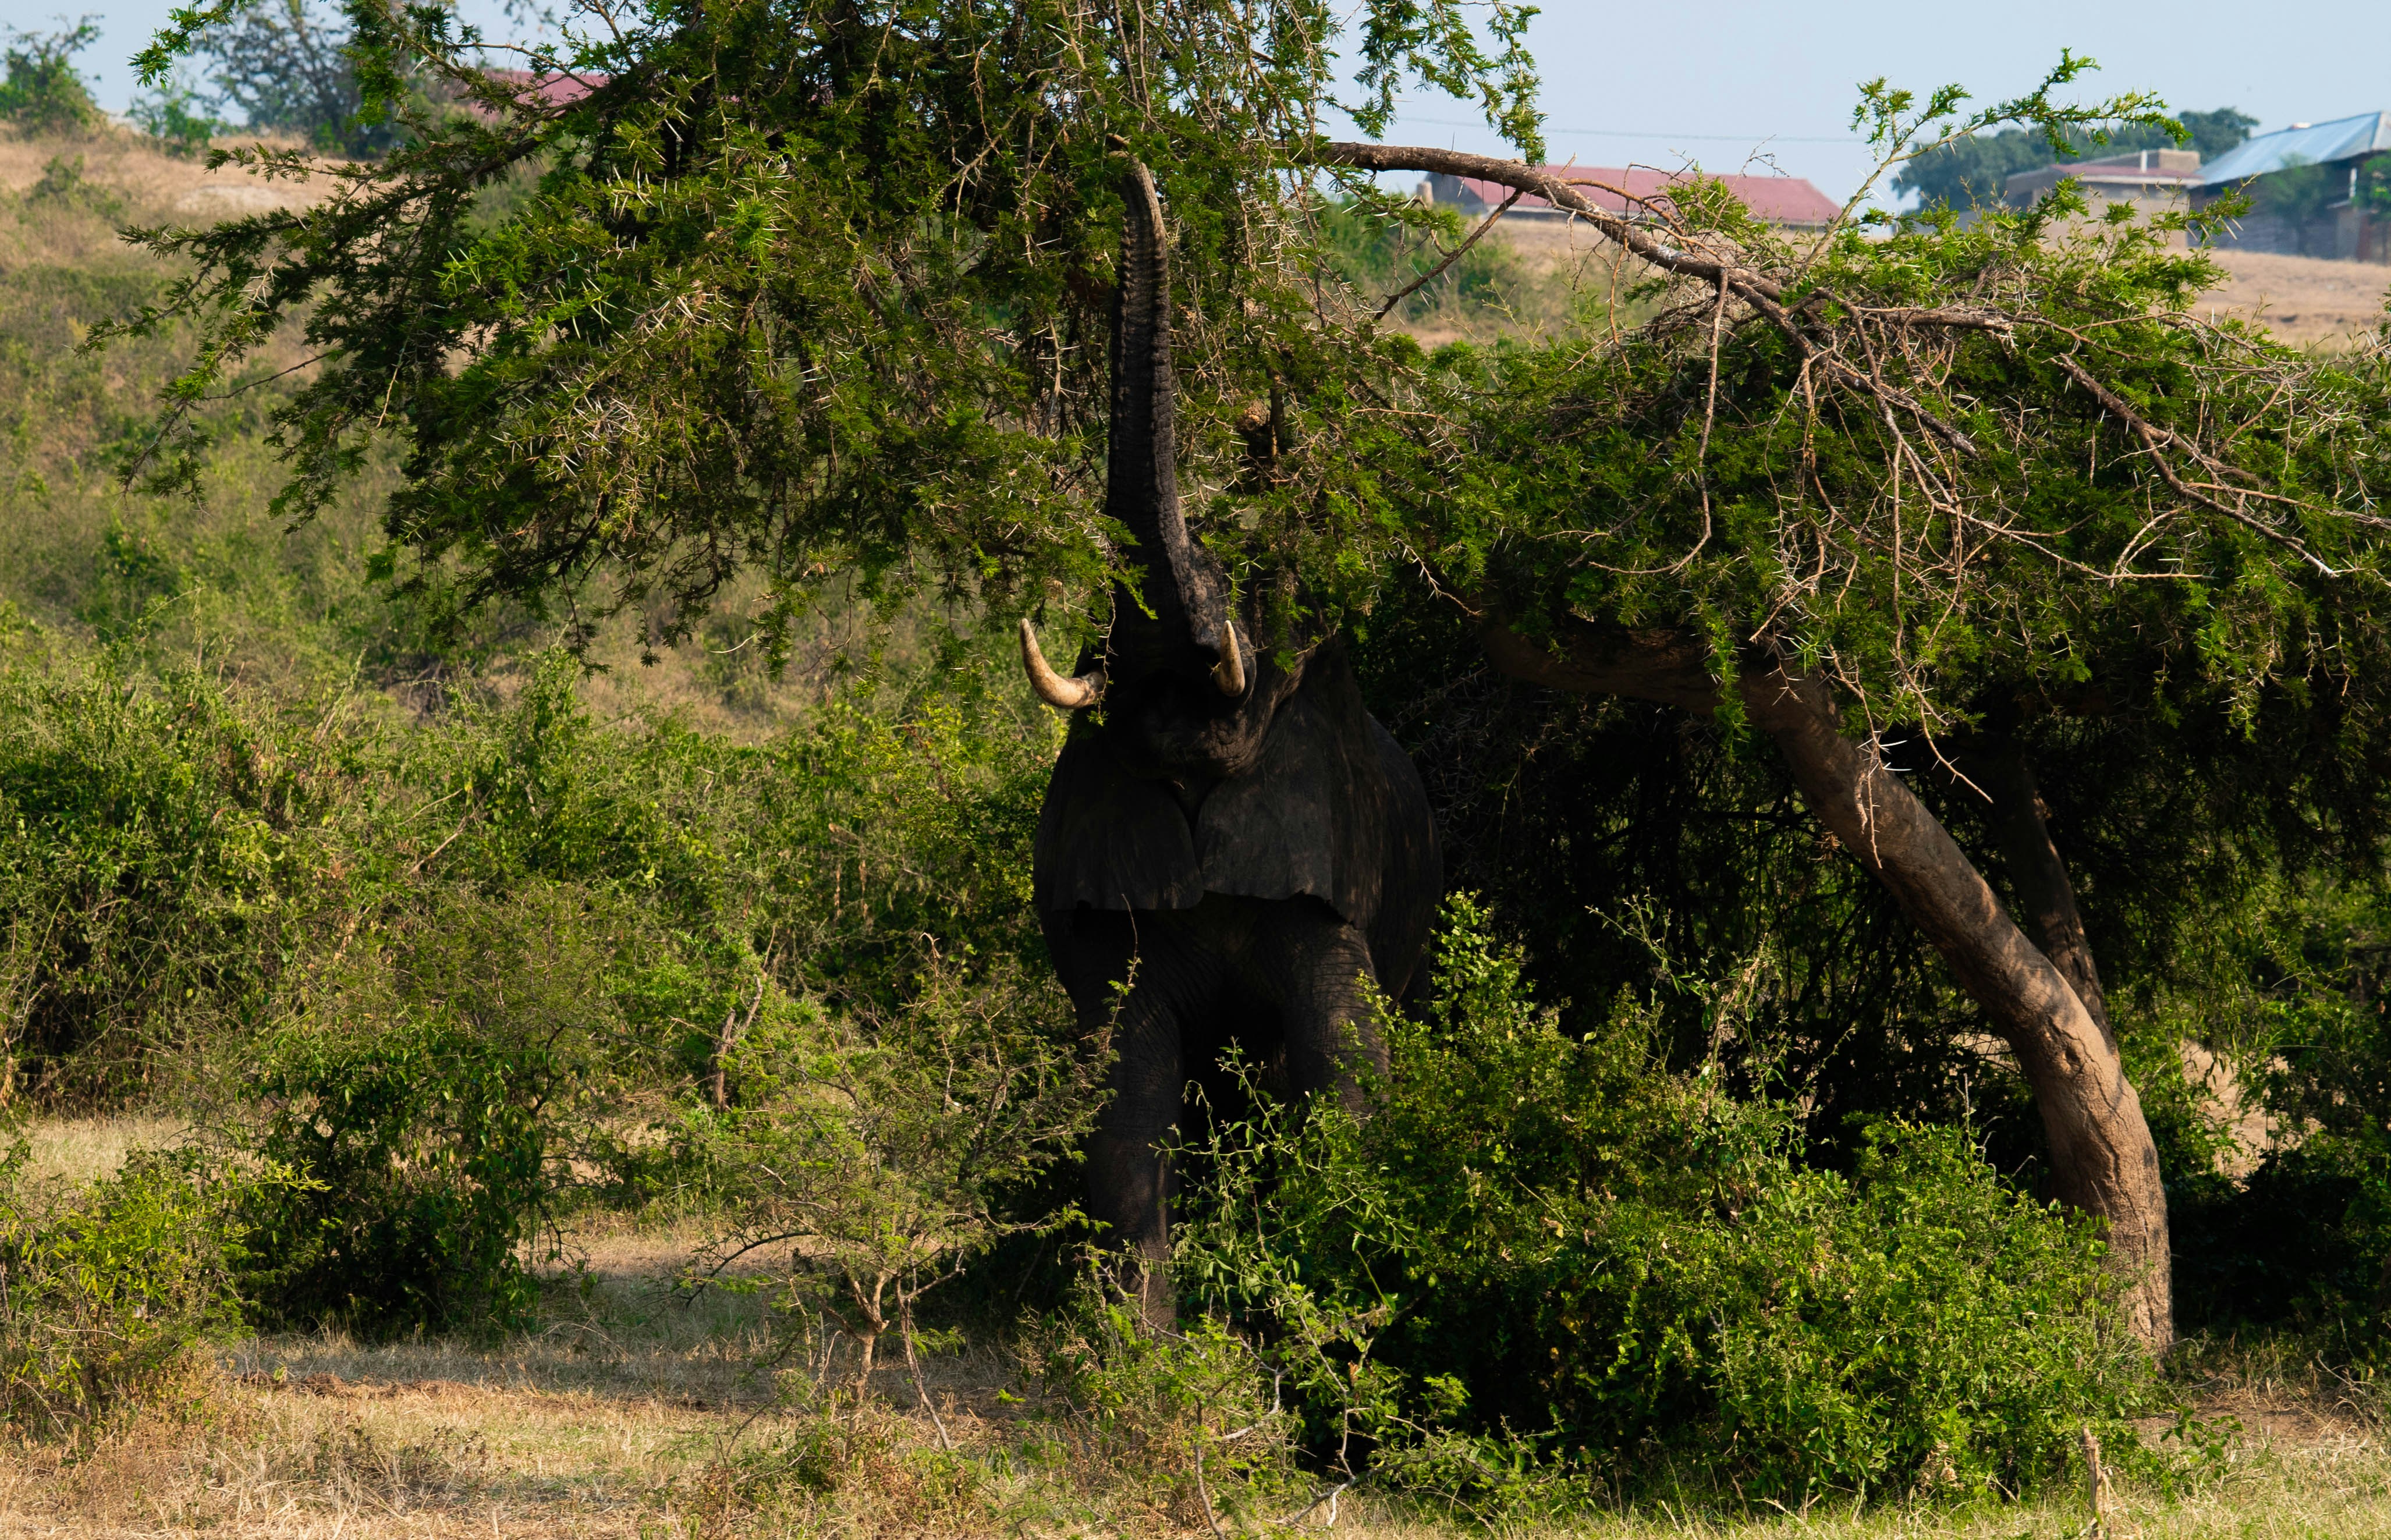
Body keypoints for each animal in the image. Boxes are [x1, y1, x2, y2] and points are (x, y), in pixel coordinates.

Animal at [1018, 162, 1443, 1321]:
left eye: (1243, 601)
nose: (1127, 161)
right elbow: (1126, 1094)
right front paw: (1141, 1353)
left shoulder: (1319, 841)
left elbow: (1346, 1067)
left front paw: (1324, 1306)